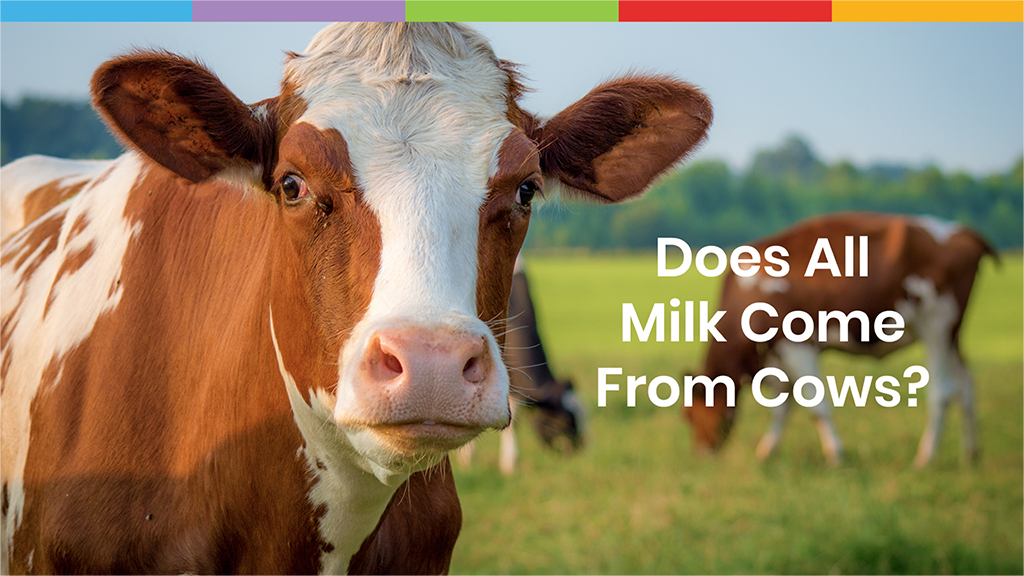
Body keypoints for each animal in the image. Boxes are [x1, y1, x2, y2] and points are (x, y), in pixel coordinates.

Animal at [683, 212, 993, 467]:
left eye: (689, 415)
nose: (701, 453)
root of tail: (963, 233)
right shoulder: (778, 358)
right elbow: (782, 408)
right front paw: (767, 451)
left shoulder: (796, 345)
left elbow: (816, 405)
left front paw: (836, 456)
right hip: (953, 334)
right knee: (966, 385)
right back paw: (970, 454)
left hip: (936, 327)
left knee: (943, 391)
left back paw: (925, 458)